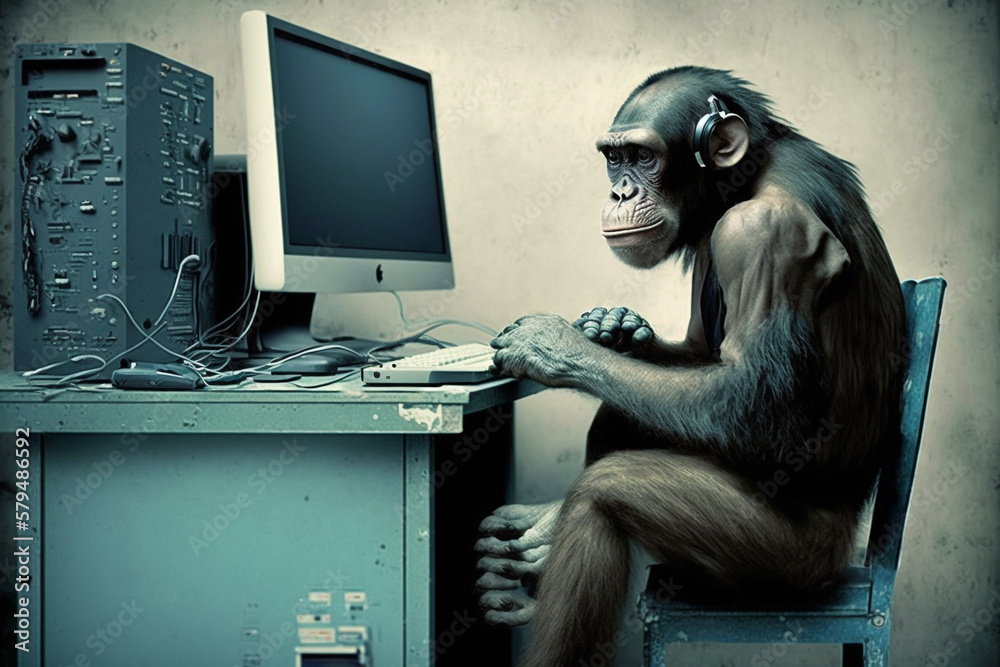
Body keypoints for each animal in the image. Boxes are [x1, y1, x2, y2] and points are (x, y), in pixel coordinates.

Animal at [475, 67, 904, 667]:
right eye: (614, 157)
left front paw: (552, 343)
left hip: (784, 558)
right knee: (629, 411)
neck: (747, 181)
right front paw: (612, 328)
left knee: (604, 493)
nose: (620, 191)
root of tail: (850, 559)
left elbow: (753, 397)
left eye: (643, 156)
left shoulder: (761, 235)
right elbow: (701, 352)